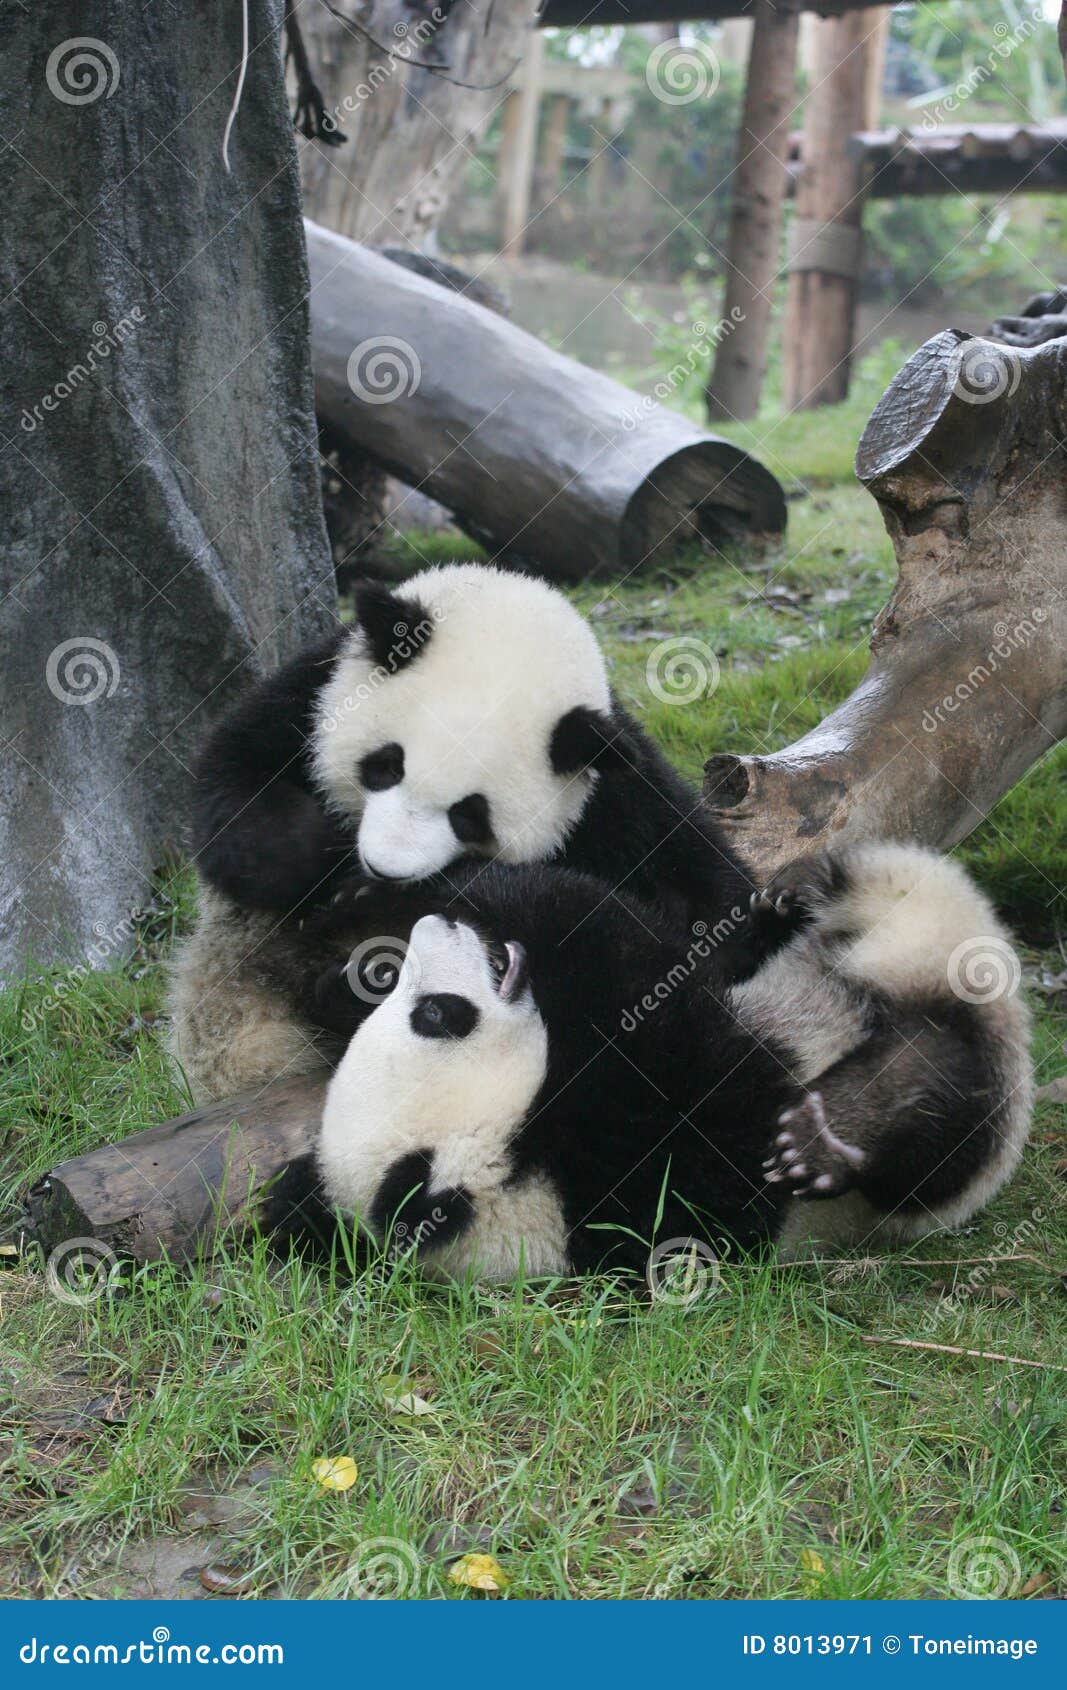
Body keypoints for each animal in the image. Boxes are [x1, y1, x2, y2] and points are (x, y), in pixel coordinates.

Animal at [169, 564, 770, 1102]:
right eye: (385, 766)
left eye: (468, 816)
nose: (384, 867)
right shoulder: (312, 691)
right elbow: (234, 789)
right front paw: (324, 869)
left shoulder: (609, 787)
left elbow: (708, 910)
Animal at [307, 843, 1032, 1280]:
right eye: (436, 1015)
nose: (437, 930)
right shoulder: (642, 1152)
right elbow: (608, 938)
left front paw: (373, 902)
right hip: (943, 1147)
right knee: (945, 1105)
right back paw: (835, 1131)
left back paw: (803, 892)